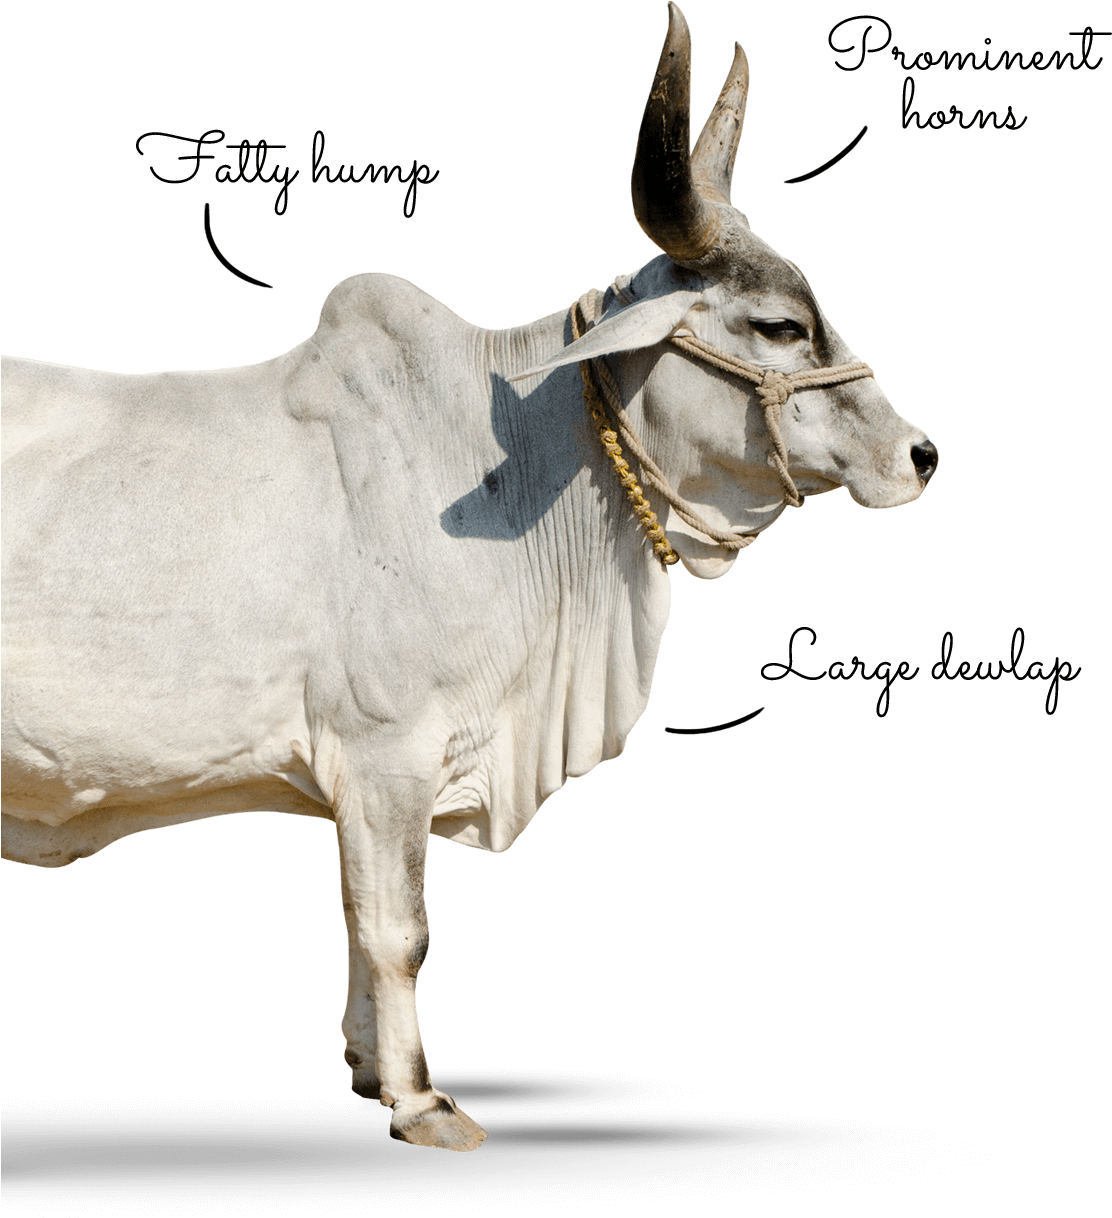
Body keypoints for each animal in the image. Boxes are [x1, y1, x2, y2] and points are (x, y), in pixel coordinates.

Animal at [1, 3, 936, 1151]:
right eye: (778, 326)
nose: (917, 454)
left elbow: (361, 922)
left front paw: (369, 1069)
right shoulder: (385, 752)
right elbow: (396, 927)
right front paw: (420, 1100)